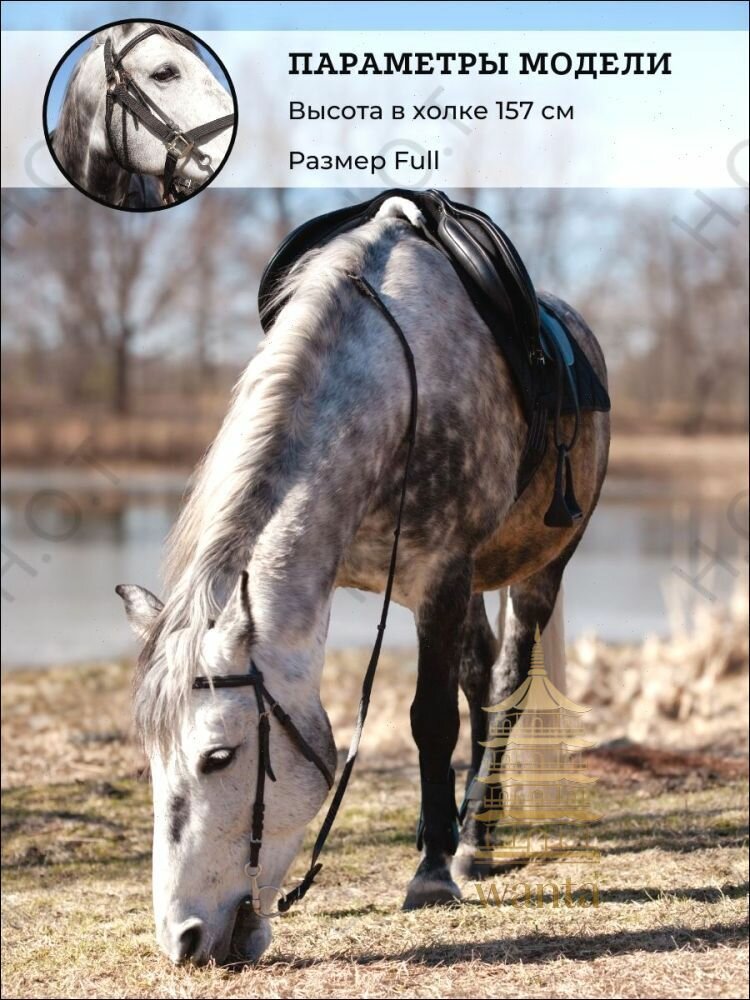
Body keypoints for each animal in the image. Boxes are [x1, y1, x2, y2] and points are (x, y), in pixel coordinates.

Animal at [117, 195, 610, 965]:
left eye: (219, 757)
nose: (185, 939)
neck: (396, 388)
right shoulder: (417, 584)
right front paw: (436, 839)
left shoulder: (441, 574)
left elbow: (430, 719)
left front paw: (434, 875)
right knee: (479, 673)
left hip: (540, 567)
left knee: (504, 683)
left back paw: (472, 838)